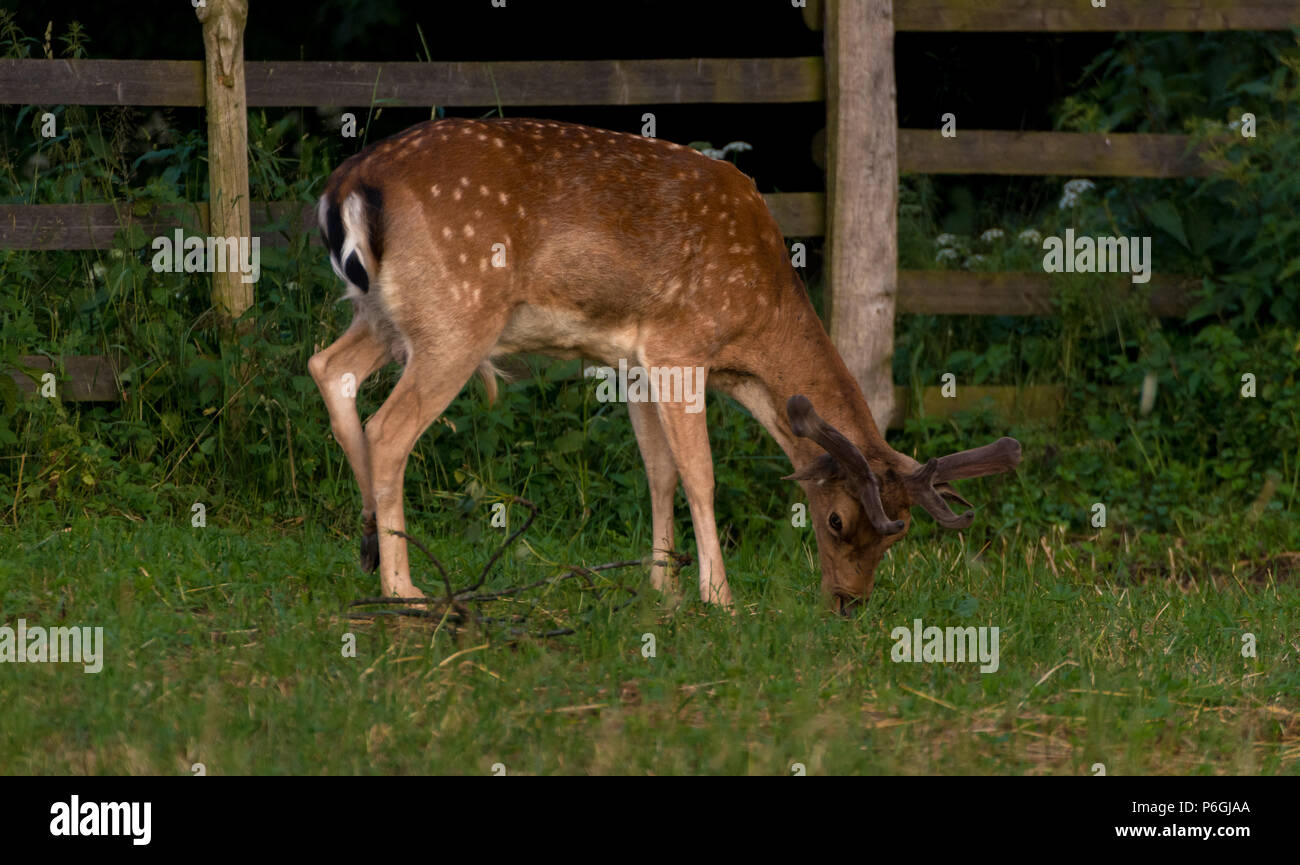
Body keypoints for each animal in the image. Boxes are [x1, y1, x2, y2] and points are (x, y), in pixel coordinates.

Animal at [308, 117, 1021, 615]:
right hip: (457, 315)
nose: (848, 605)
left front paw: (663, 590)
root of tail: (346, 186)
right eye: (837, 521)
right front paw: (720, 598)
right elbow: (701, 475)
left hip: (390, 315)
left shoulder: (634, 361)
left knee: (328, 367)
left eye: (897, 540)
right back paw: (404, 589)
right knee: (388, 428)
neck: (752, 334)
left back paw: (368, 549)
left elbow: (659, 472)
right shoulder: (681, 347)